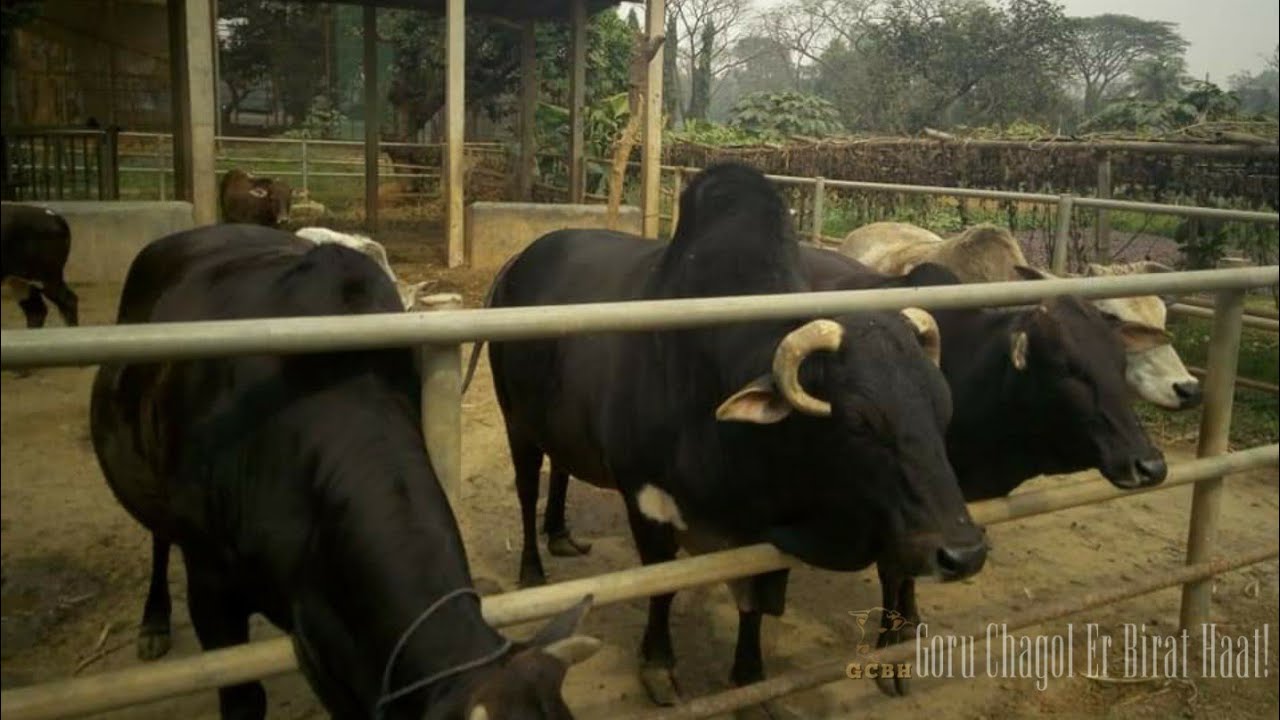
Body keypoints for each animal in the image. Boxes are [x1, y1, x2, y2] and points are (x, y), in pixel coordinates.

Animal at [478, 163, 986, 706]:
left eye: (941, 409)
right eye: (859, 421)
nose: (964, 553)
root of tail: (518, 262)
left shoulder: (766, 527)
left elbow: (753, 601)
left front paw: (749, 676)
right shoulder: (647, 498)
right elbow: (662, 583)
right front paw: (658, 665)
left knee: (560, 470)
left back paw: (560, 535)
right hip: (516, 423)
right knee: (527, 487)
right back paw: (533, 569)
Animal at [802, 246, 1167, 695]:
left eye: (1120, 364)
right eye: (1068, 369)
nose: (1149, 464)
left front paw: (912, 625)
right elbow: (895, 569)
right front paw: (892, 649)